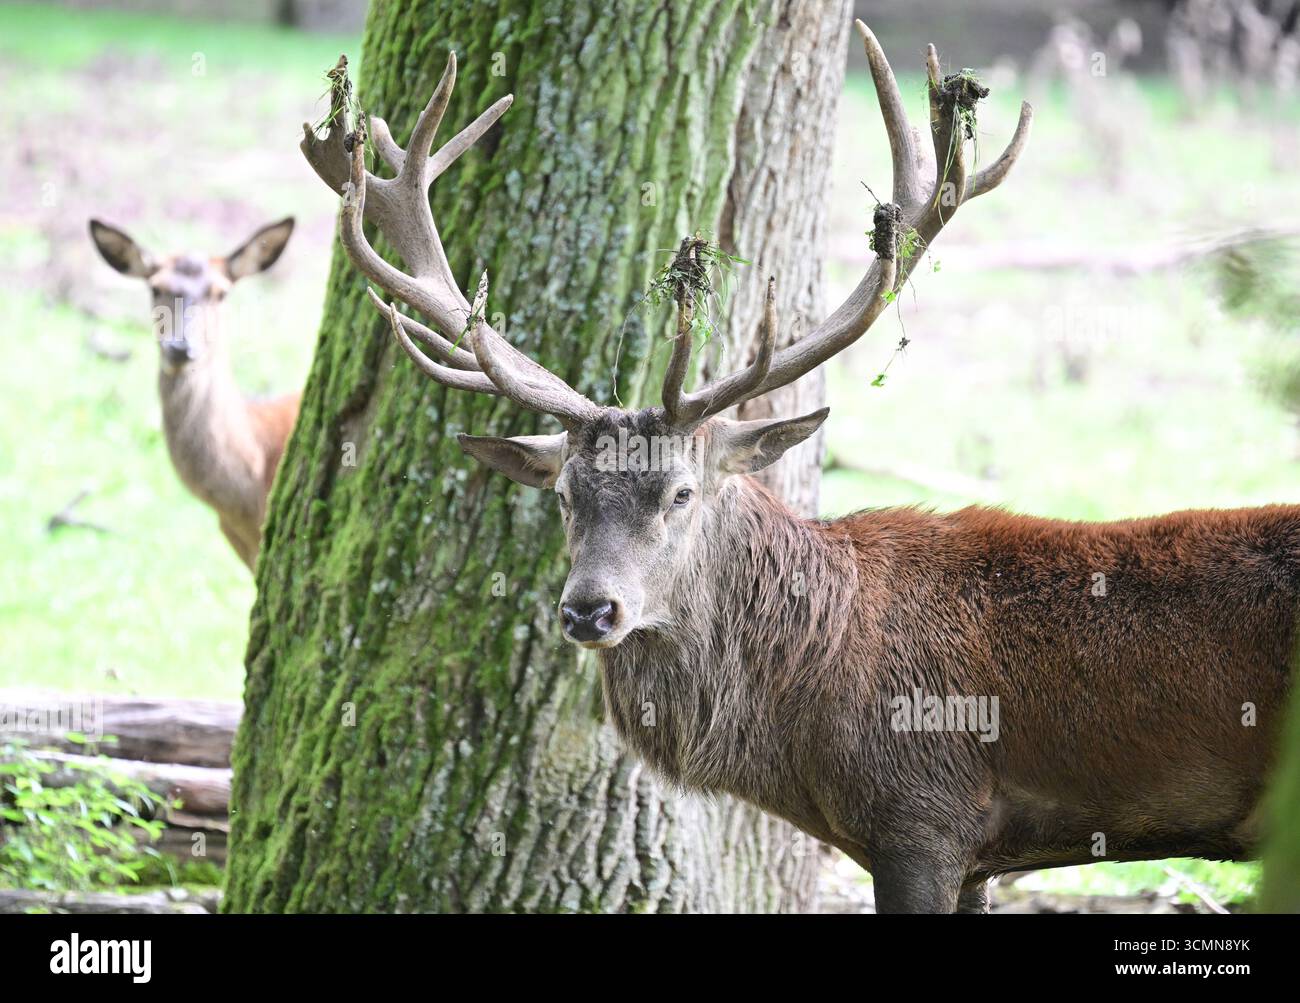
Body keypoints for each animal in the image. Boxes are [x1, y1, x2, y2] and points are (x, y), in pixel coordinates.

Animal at [302, 21, 1295, 913]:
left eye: (682, 492)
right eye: (564, 496)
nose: (590, 608)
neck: (805, 715)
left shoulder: (922, 815)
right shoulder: (978, 853)